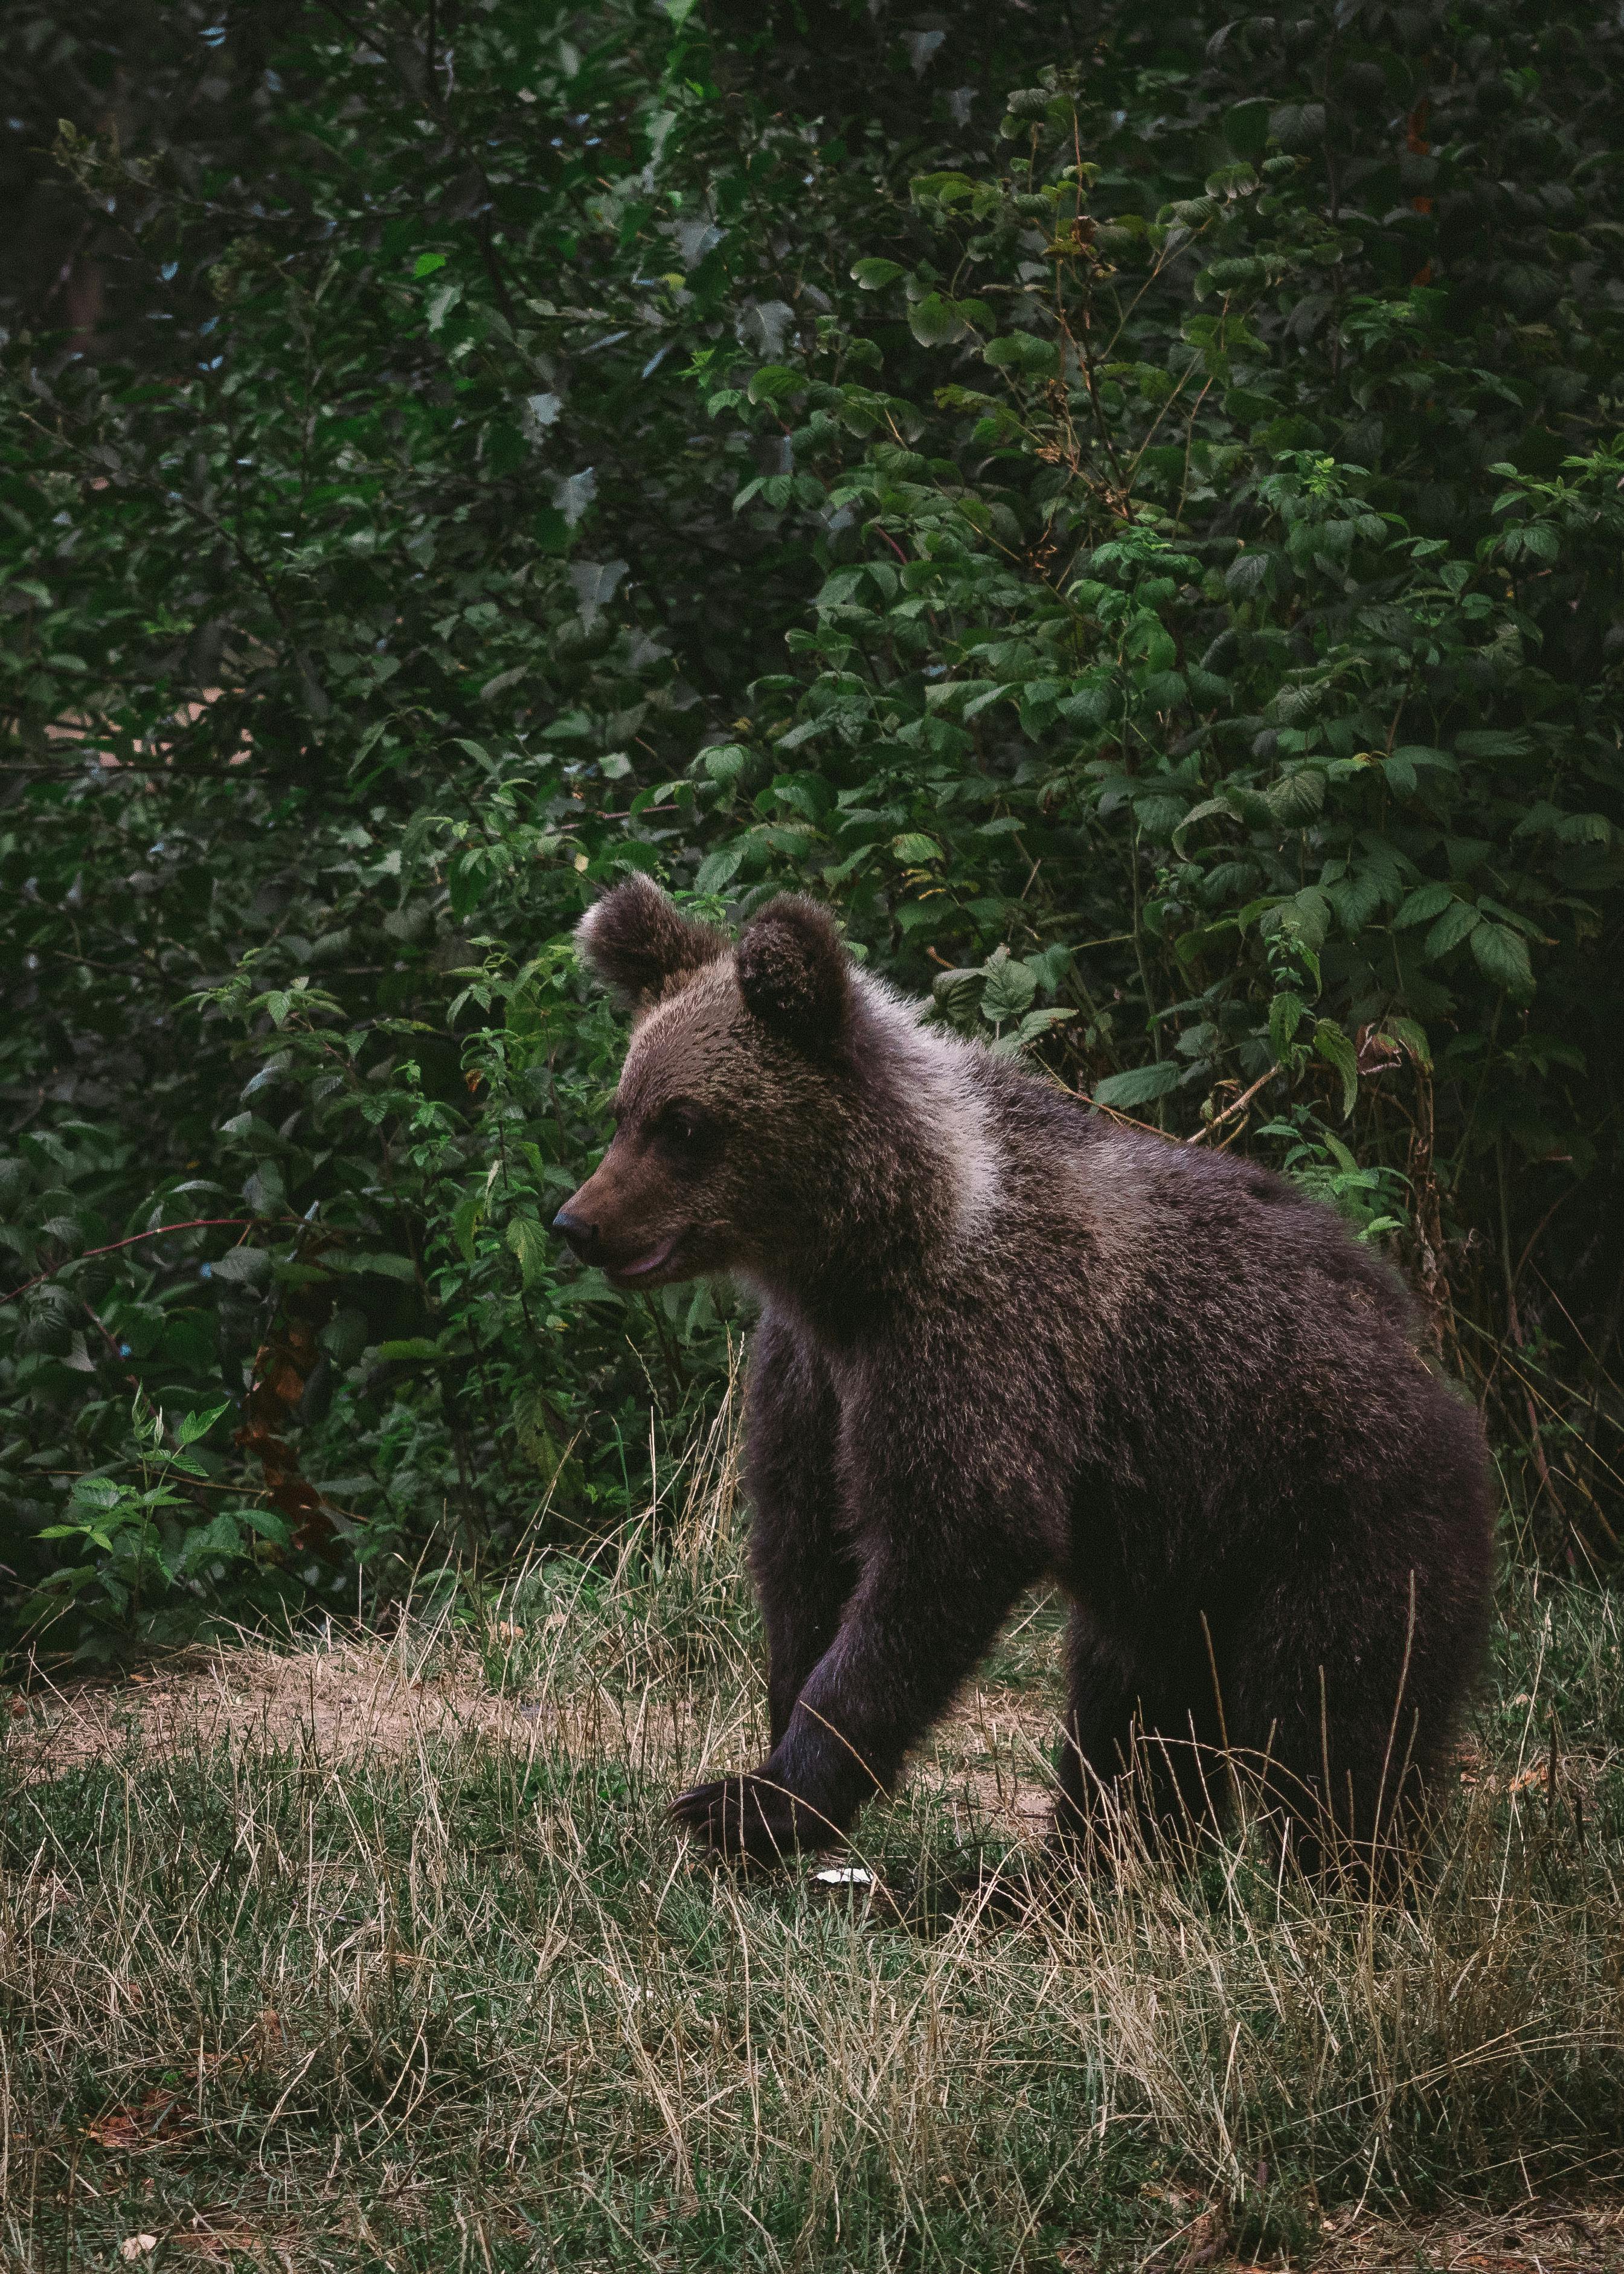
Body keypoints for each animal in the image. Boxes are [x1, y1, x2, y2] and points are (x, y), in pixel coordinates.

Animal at [554, 873, 1495, 1880]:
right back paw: (1088, 1863)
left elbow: (946, 1545)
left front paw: (754, 1802)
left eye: (684, 1123)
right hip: (1170, 1571)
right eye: (624, 1109)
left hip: (1328, 1517)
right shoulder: (810, 1372)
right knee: (1135, 1720)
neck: (875, 1250)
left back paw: (1338, 1871)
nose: (579, 1222)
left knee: (1329, 1720)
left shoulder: (984, 1346)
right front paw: (770, 1763)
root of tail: (1440, 1386)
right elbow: (803, 1549)